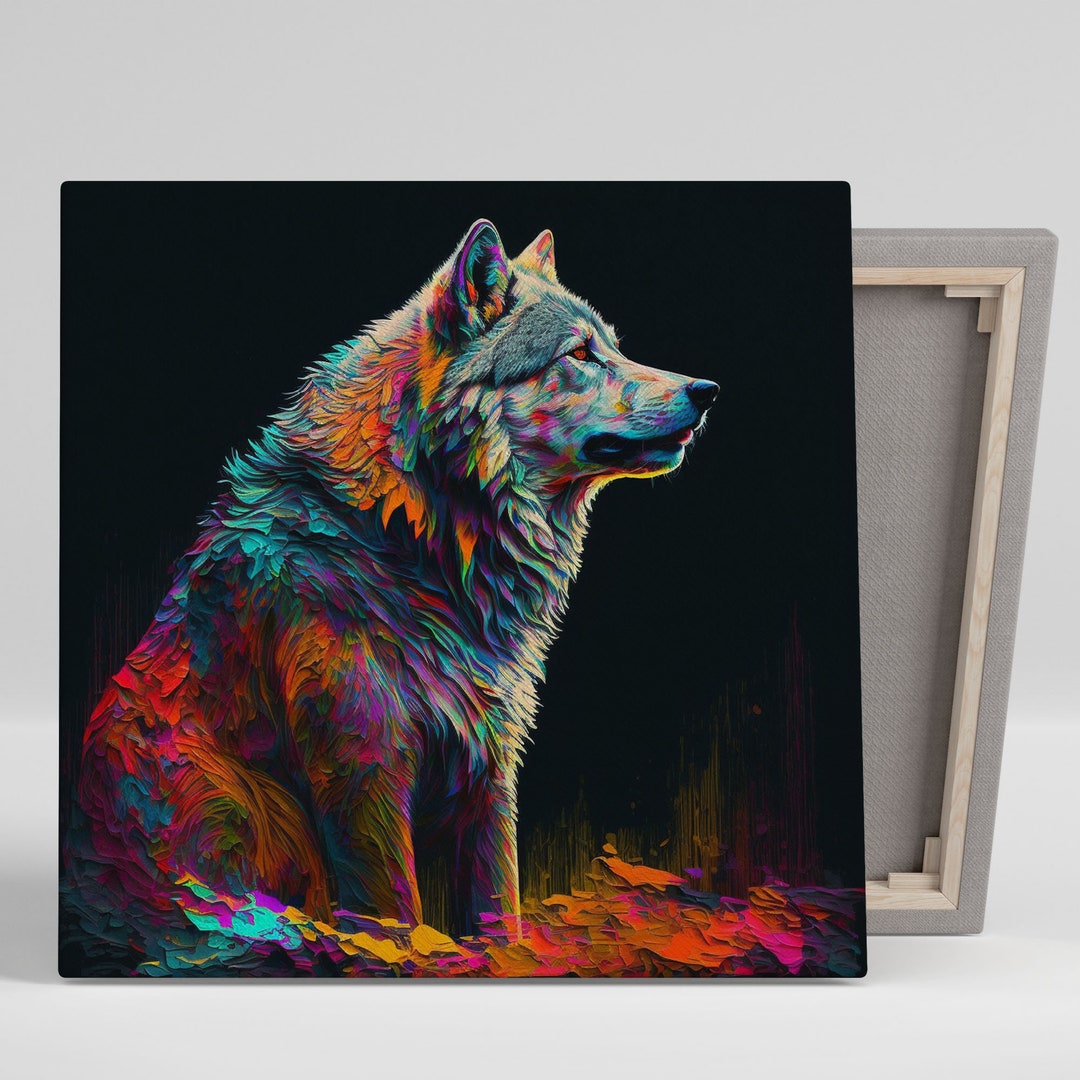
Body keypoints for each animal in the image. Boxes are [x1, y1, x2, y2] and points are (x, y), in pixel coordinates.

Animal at [72, 219, 718, 944]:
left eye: (615, 348)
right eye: (580, 353)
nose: (707, 390)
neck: (411, 530)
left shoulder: (490, 766)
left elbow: (499, 904)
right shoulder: (363, 772)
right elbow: (393, 917)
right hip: (251, 813)